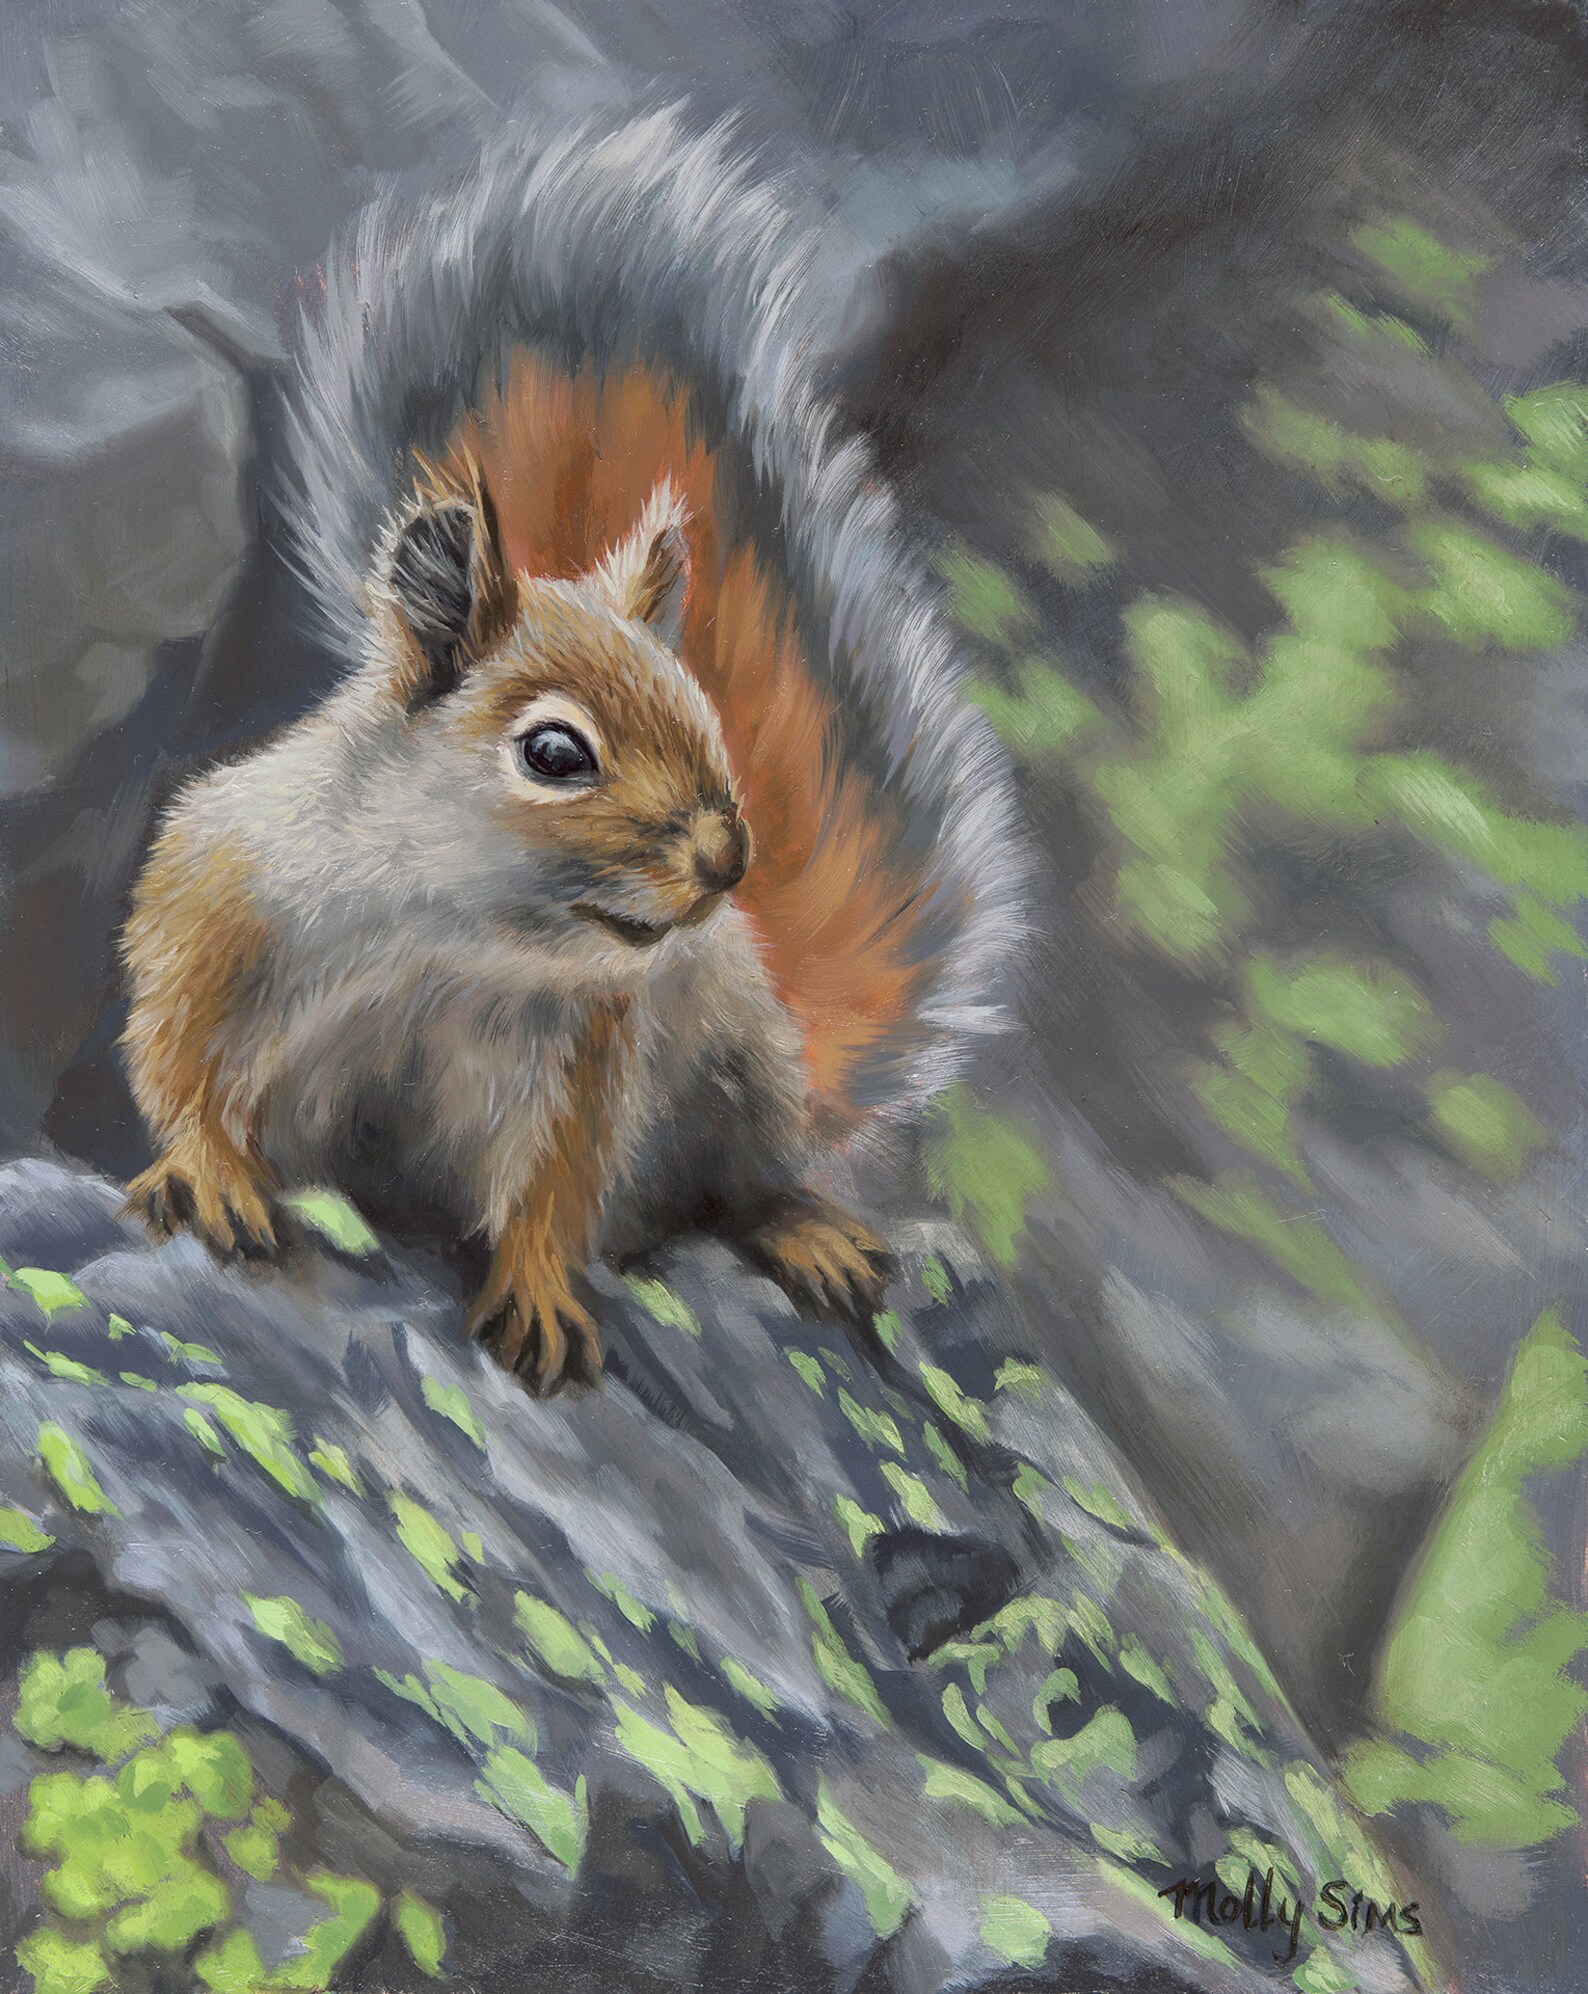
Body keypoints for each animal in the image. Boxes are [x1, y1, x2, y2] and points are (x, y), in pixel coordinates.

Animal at [119, 106, 1022, 1395]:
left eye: (705, 710)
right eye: (553, 752)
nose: (727, 857)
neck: (446, 931)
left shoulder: (585, 1053)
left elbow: (553, 1186)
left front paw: (541, 1290)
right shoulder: (213, 902)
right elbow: (179, 1058)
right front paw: (206, 1168)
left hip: (739, 1066)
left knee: (739, 1181)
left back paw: (805, 1226)